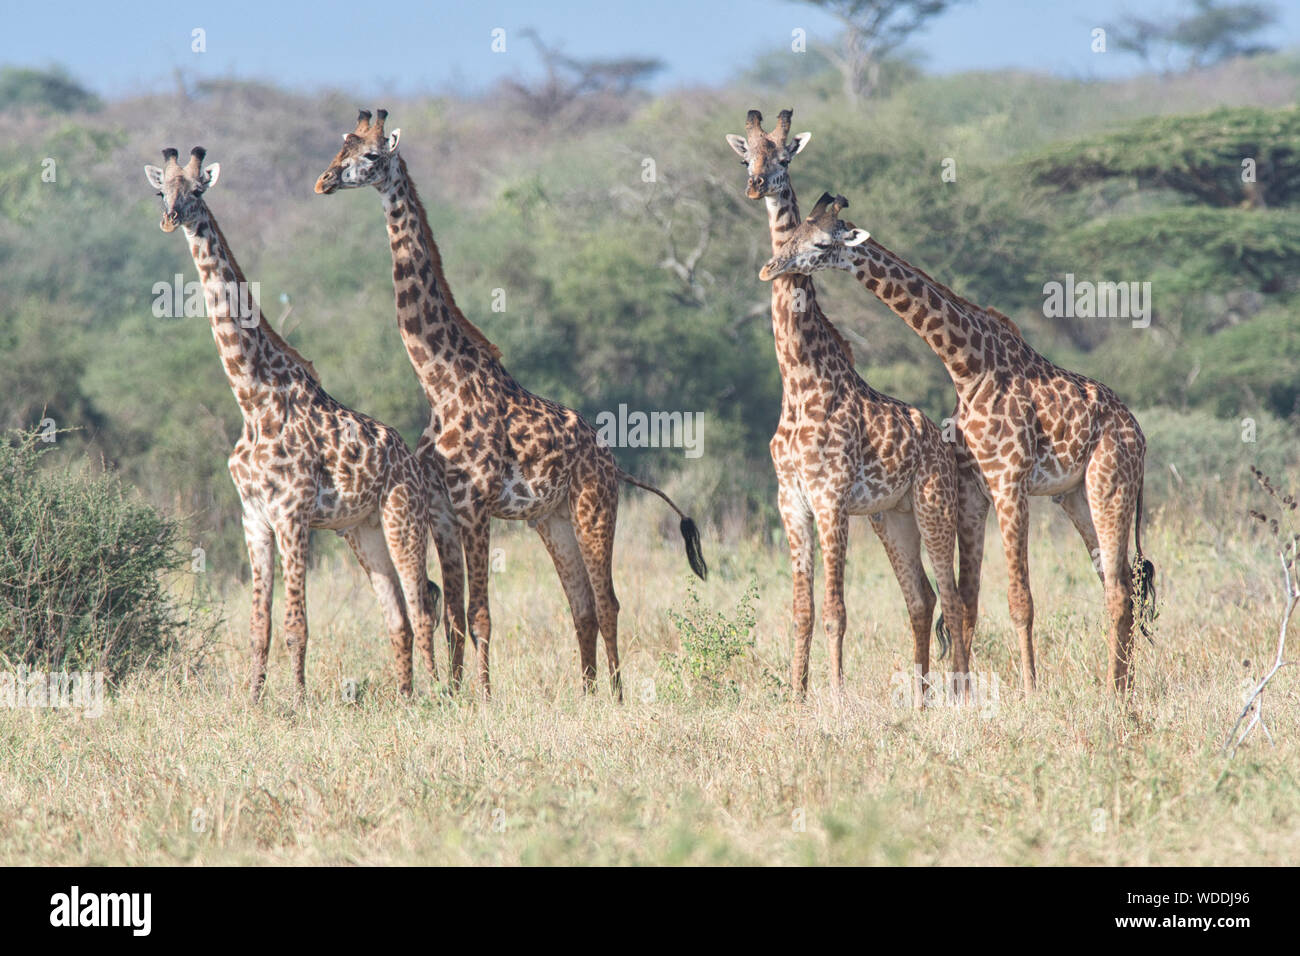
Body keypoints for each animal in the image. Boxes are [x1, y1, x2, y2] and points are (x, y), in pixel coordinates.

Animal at [144, 146, 464, 702]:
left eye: (198, 190)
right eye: (162, 190)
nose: (170, 218)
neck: (252, 399)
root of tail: (415, 463)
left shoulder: (292, 514)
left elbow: (296, 622)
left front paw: (296, 702)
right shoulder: (254, 517)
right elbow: (258, 625)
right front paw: (253, 701)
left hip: (402, 517)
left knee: (423, 601)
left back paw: (435, 694)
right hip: (362, 531)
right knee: (399, 614)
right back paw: (405, 696)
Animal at [313, 110, 707, 701]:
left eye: (371, 156)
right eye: (341, 147)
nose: (323, 182)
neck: (440, 382)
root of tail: (614, 462)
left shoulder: (476, 507)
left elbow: (480, 614)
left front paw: (482, 698)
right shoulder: (443, 510)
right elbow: (453, 613)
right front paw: (453, 696)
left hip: (594, 508)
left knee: (608, 602)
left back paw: (615, 696)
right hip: (552, 520)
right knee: (581, 606)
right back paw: (587, 695)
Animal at [725, 109, 967, 702]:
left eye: (783, 156)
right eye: (747, 158)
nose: (756, 186)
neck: (800, 382)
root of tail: (943, 441)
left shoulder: (831, 498)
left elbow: (836, 609)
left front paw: (833, 697)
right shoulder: (792, 500)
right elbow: (802, 609)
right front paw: (797, 695)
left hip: (933, 505)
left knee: (953, 599)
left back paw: (959, 694)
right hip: (891, 516)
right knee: (922, 597)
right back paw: (922, 697)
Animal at [761, 192, 1158, 694]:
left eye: (819, 243)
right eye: (793, 231)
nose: (770, 267)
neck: (966, 366)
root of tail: (1138, 432)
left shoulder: (1009, 481)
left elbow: (1019, 598)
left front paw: (1029, 689)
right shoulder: (973, 490)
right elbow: (968, 601)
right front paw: (961, 692)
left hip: (1111, 482)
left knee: (1120, 588)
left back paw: (1112, 692)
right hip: (1076, 495)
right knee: (1118, 580)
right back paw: (1122, 688)